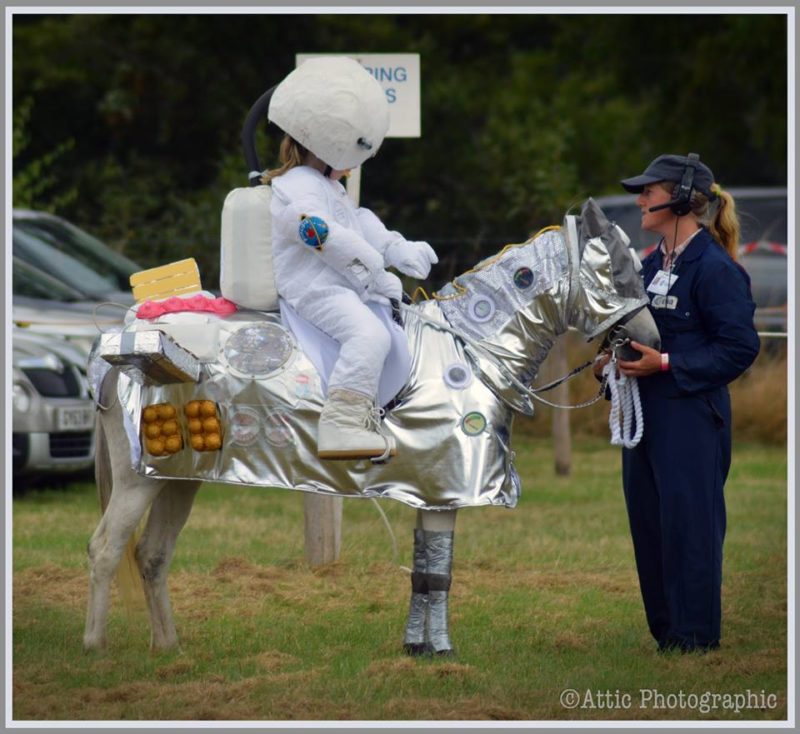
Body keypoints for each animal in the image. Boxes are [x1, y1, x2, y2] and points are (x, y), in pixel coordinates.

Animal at [83, 198, 660, 656]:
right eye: (618, 270)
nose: (650, 343)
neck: (469, 353)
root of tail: (123, 334)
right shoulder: (446, 489)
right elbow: (440, 574)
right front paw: (441, 652)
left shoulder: (433, 494)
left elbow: (427, 572)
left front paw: (417, 649)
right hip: (137, 480)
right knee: (106, 549)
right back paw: (96, 647)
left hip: (176, 479)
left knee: (152, 555)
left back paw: (169, 649)